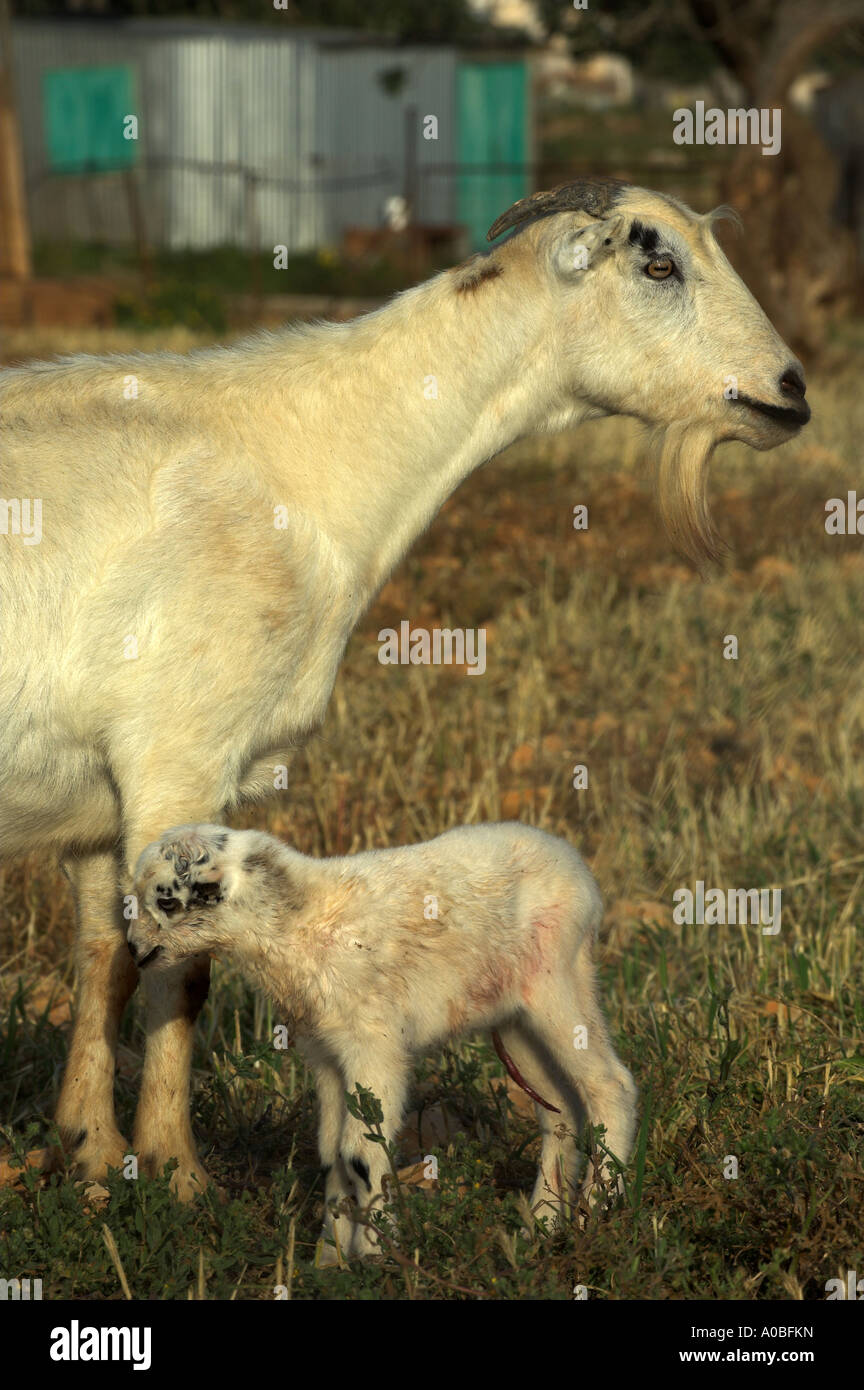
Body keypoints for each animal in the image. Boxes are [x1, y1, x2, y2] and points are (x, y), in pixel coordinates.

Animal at [0, 180, 808, 1198]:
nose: (791, 390)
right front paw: (181, 1177)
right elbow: (179, 972)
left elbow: (103, 957)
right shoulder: (177, 751)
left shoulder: (99, 799)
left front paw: (96, 1158)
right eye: (657, 261)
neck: (302, 459)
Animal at [128, 821, 637, 1258]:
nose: (135, 950)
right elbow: (332, 1152)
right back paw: (544, 1225)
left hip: (557, 983)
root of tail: (574, 863)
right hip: (515, 1019)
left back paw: (597, 1211)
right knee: (560, 1110)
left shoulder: (373, 1048)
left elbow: (360, 1154)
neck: (298, 922)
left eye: (166, 902)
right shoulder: (327, 1055)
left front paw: (375, 1255)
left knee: (611, 1084)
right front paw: (330, 1258)